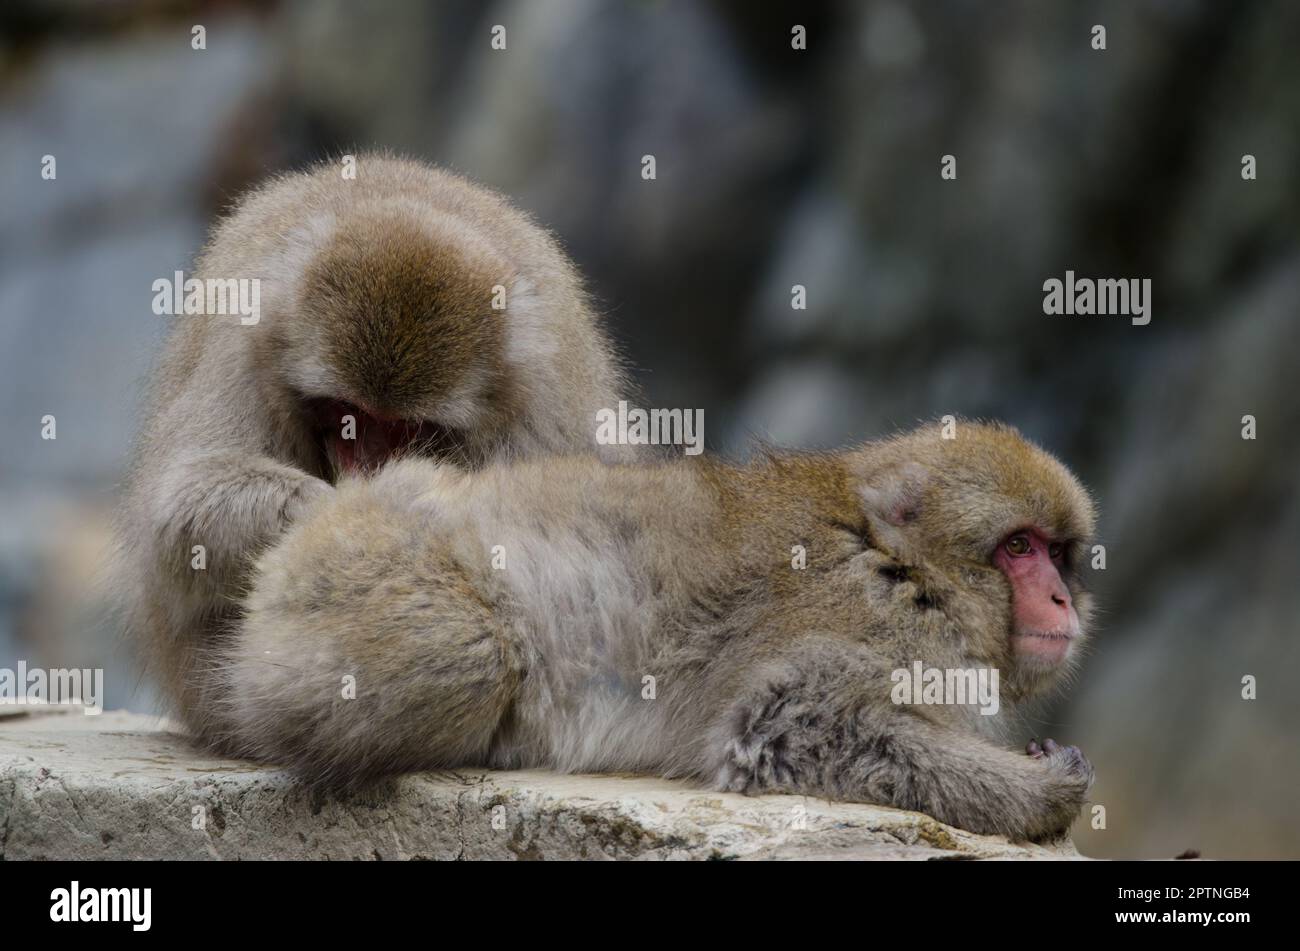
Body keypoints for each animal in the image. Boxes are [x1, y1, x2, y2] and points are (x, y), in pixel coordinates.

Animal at [113, 155, 631, 747]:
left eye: (408, 426)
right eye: (347, 414)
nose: (367, 466)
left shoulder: (537, 400)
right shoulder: (249, 346)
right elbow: (180, 515)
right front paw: (327, 510)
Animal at [218, 420, 1098, 841]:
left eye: (1059, 552)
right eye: (1018, 547)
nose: (1062, 599)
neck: (908, 569)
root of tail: (306, 534)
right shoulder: (884, 632)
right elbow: (785, 720)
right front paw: (1042, 792)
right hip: (355, 574)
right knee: (469, 658)